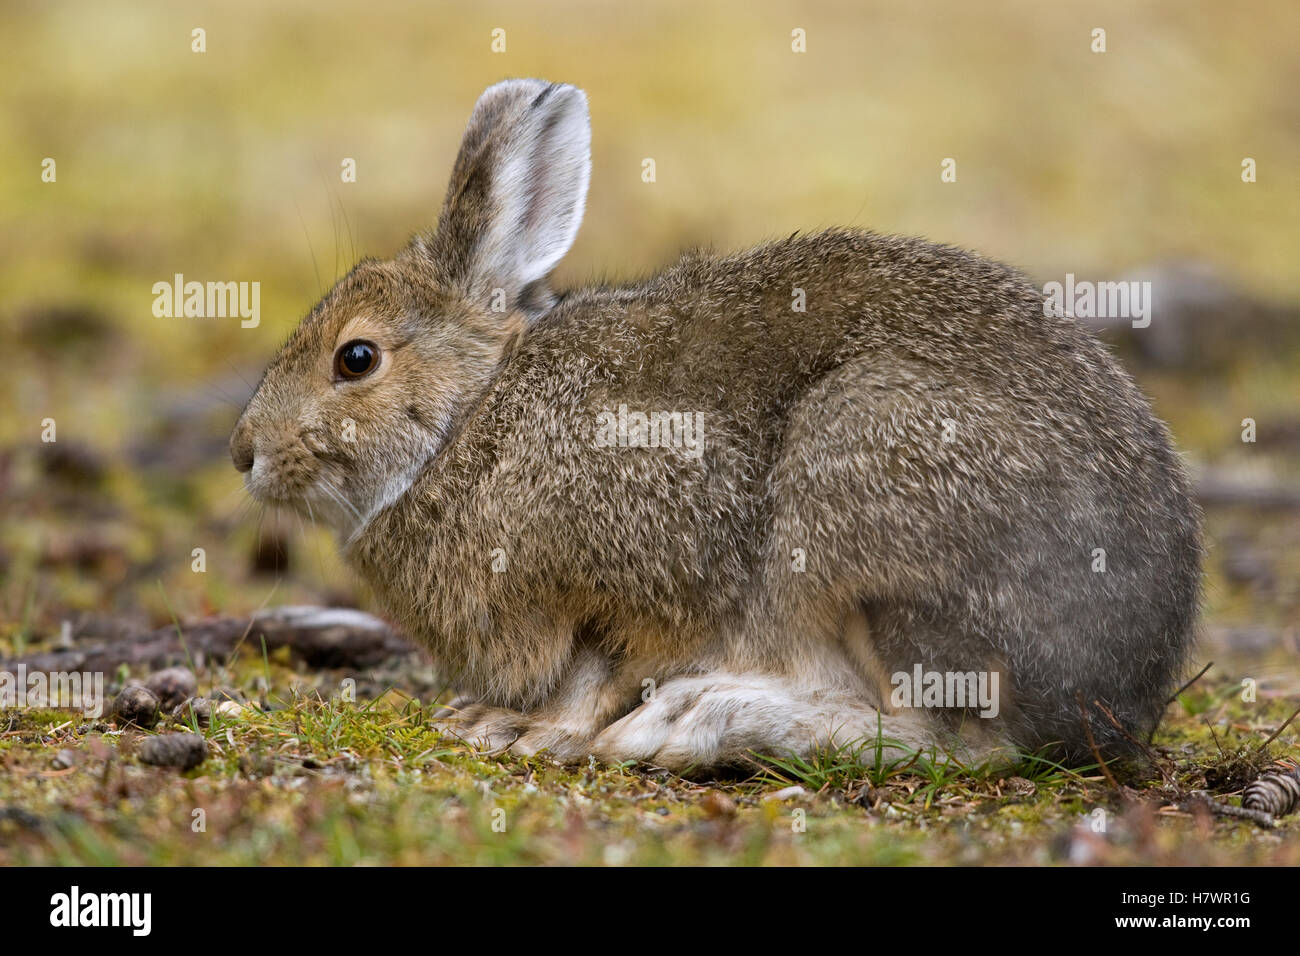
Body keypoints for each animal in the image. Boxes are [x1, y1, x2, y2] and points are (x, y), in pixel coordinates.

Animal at [230, 78, 1202, 772]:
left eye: (356, 358)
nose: (243, 453)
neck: (472, 419)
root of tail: (1119, 695)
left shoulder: (642, 571)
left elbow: (604, 670)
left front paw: (526, 732)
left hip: (859, 472)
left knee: (956, 742)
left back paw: (696, 725)